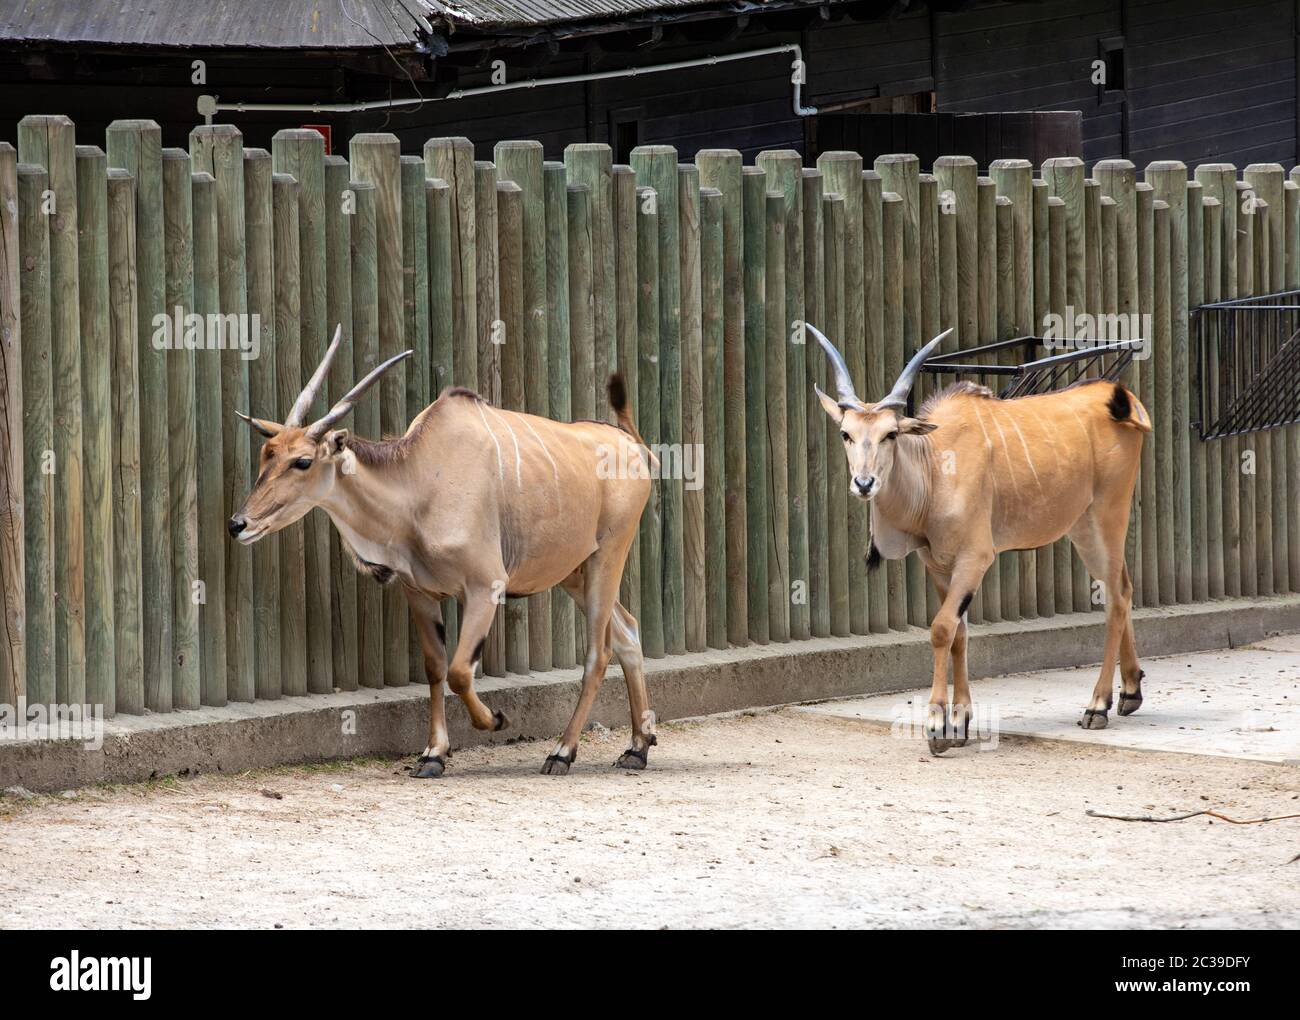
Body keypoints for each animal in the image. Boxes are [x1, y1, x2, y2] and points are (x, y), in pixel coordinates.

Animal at [230, 326, 655, 777]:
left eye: (303, 461)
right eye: (266, 454)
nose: (238, 524)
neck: (419, 482)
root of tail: (633, 445)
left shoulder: (486, 587)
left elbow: (460, 672)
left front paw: (495, 720)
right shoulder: (419, 593)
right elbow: (435, 668)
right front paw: (433, 753)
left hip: (607, 558)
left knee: (598, 653)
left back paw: (562, 752)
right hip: (575, 573)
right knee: (628, 633)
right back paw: (637, 747)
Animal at [810, 324, 1151, 753]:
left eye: (890, 434)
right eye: (846, 434)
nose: (864, 483)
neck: (936, 466)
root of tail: (1123, 400)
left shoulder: (975, 559)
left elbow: (941, 629)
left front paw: (938, 726)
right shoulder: (939, 566)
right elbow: (959, 633)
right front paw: (960, 722)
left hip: (1106, 519)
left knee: (1117, 596)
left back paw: (1097, 706)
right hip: (1084, 527)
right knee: (1122, 585)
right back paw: (1130, 692)